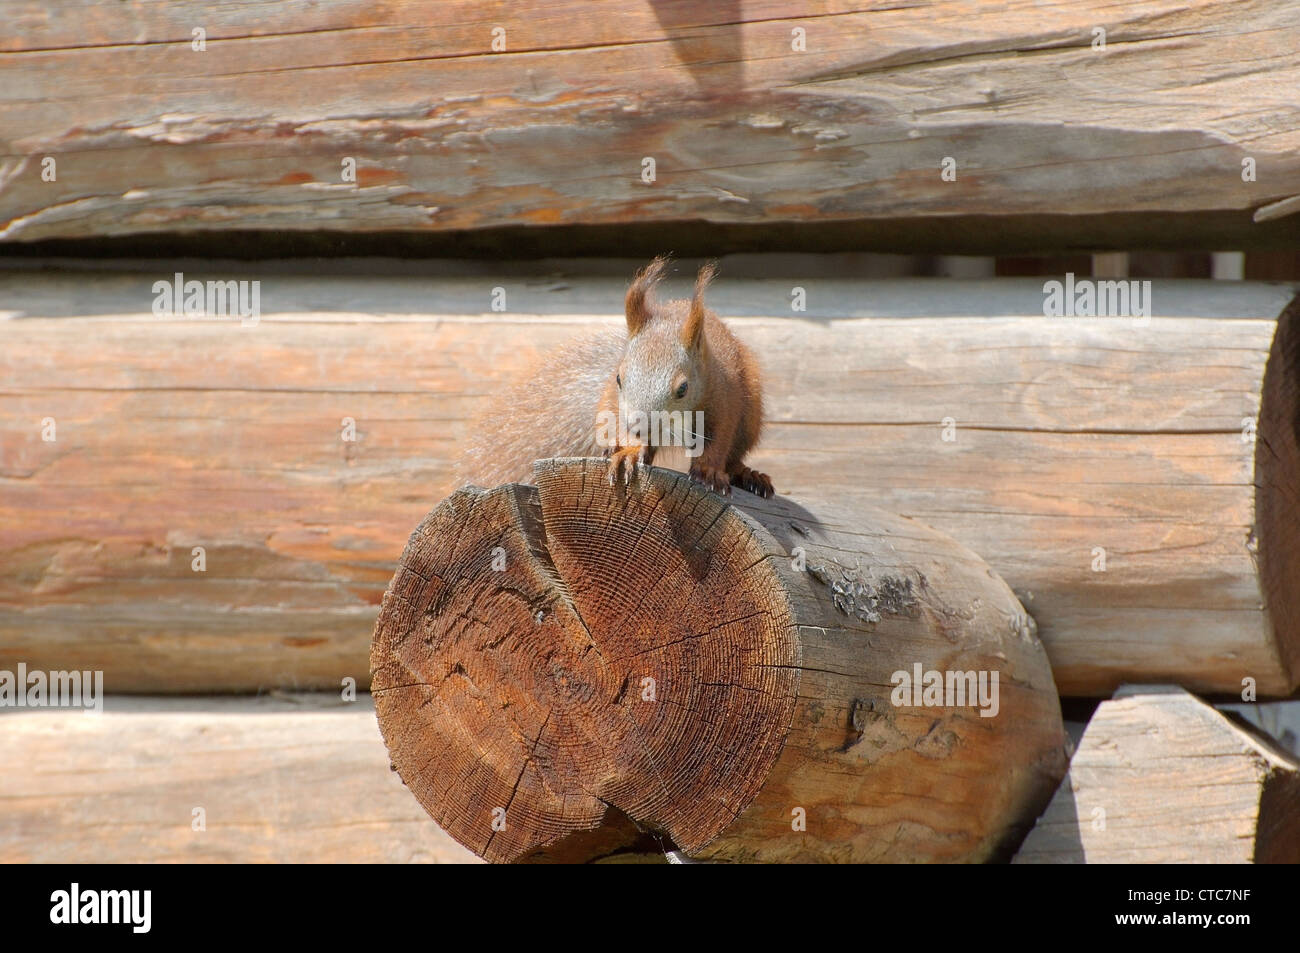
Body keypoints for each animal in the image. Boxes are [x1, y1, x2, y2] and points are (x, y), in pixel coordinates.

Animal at [458, 256, 774, 498]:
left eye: (683, 388)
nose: (638, 425)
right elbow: (616, 424)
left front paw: (709, 472)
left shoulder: (725, 399)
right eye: (619, 378)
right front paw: (628, 453)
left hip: (750, 416)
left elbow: (719, 441)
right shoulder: (614, 400)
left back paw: (748, 474)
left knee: (735, 453)